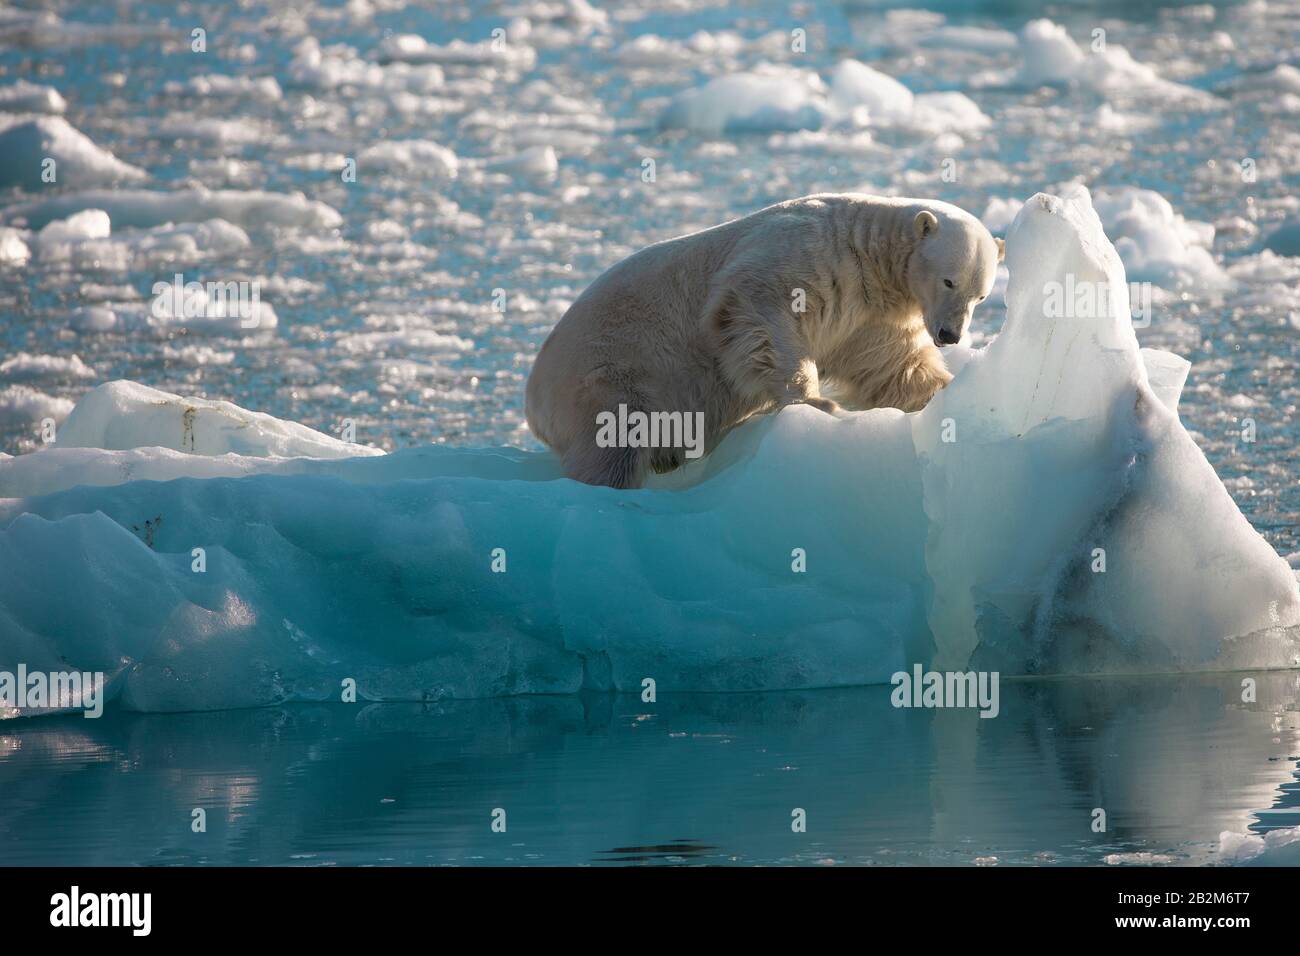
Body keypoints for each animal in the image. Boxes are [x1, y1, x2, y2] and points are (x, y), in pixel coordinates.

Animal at [525, 193, 1003, 489]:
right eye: (948, 280)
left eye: (980, 294)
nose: (949, 334)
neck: (866, 251)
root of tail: (533, 401)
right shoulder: (799, 259)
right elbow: (763, 316)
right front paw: (816, 403)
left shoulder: (873, 315)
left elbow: (892, 365)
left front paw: (952, 394)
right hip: (608, 372)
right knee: (616, 435)